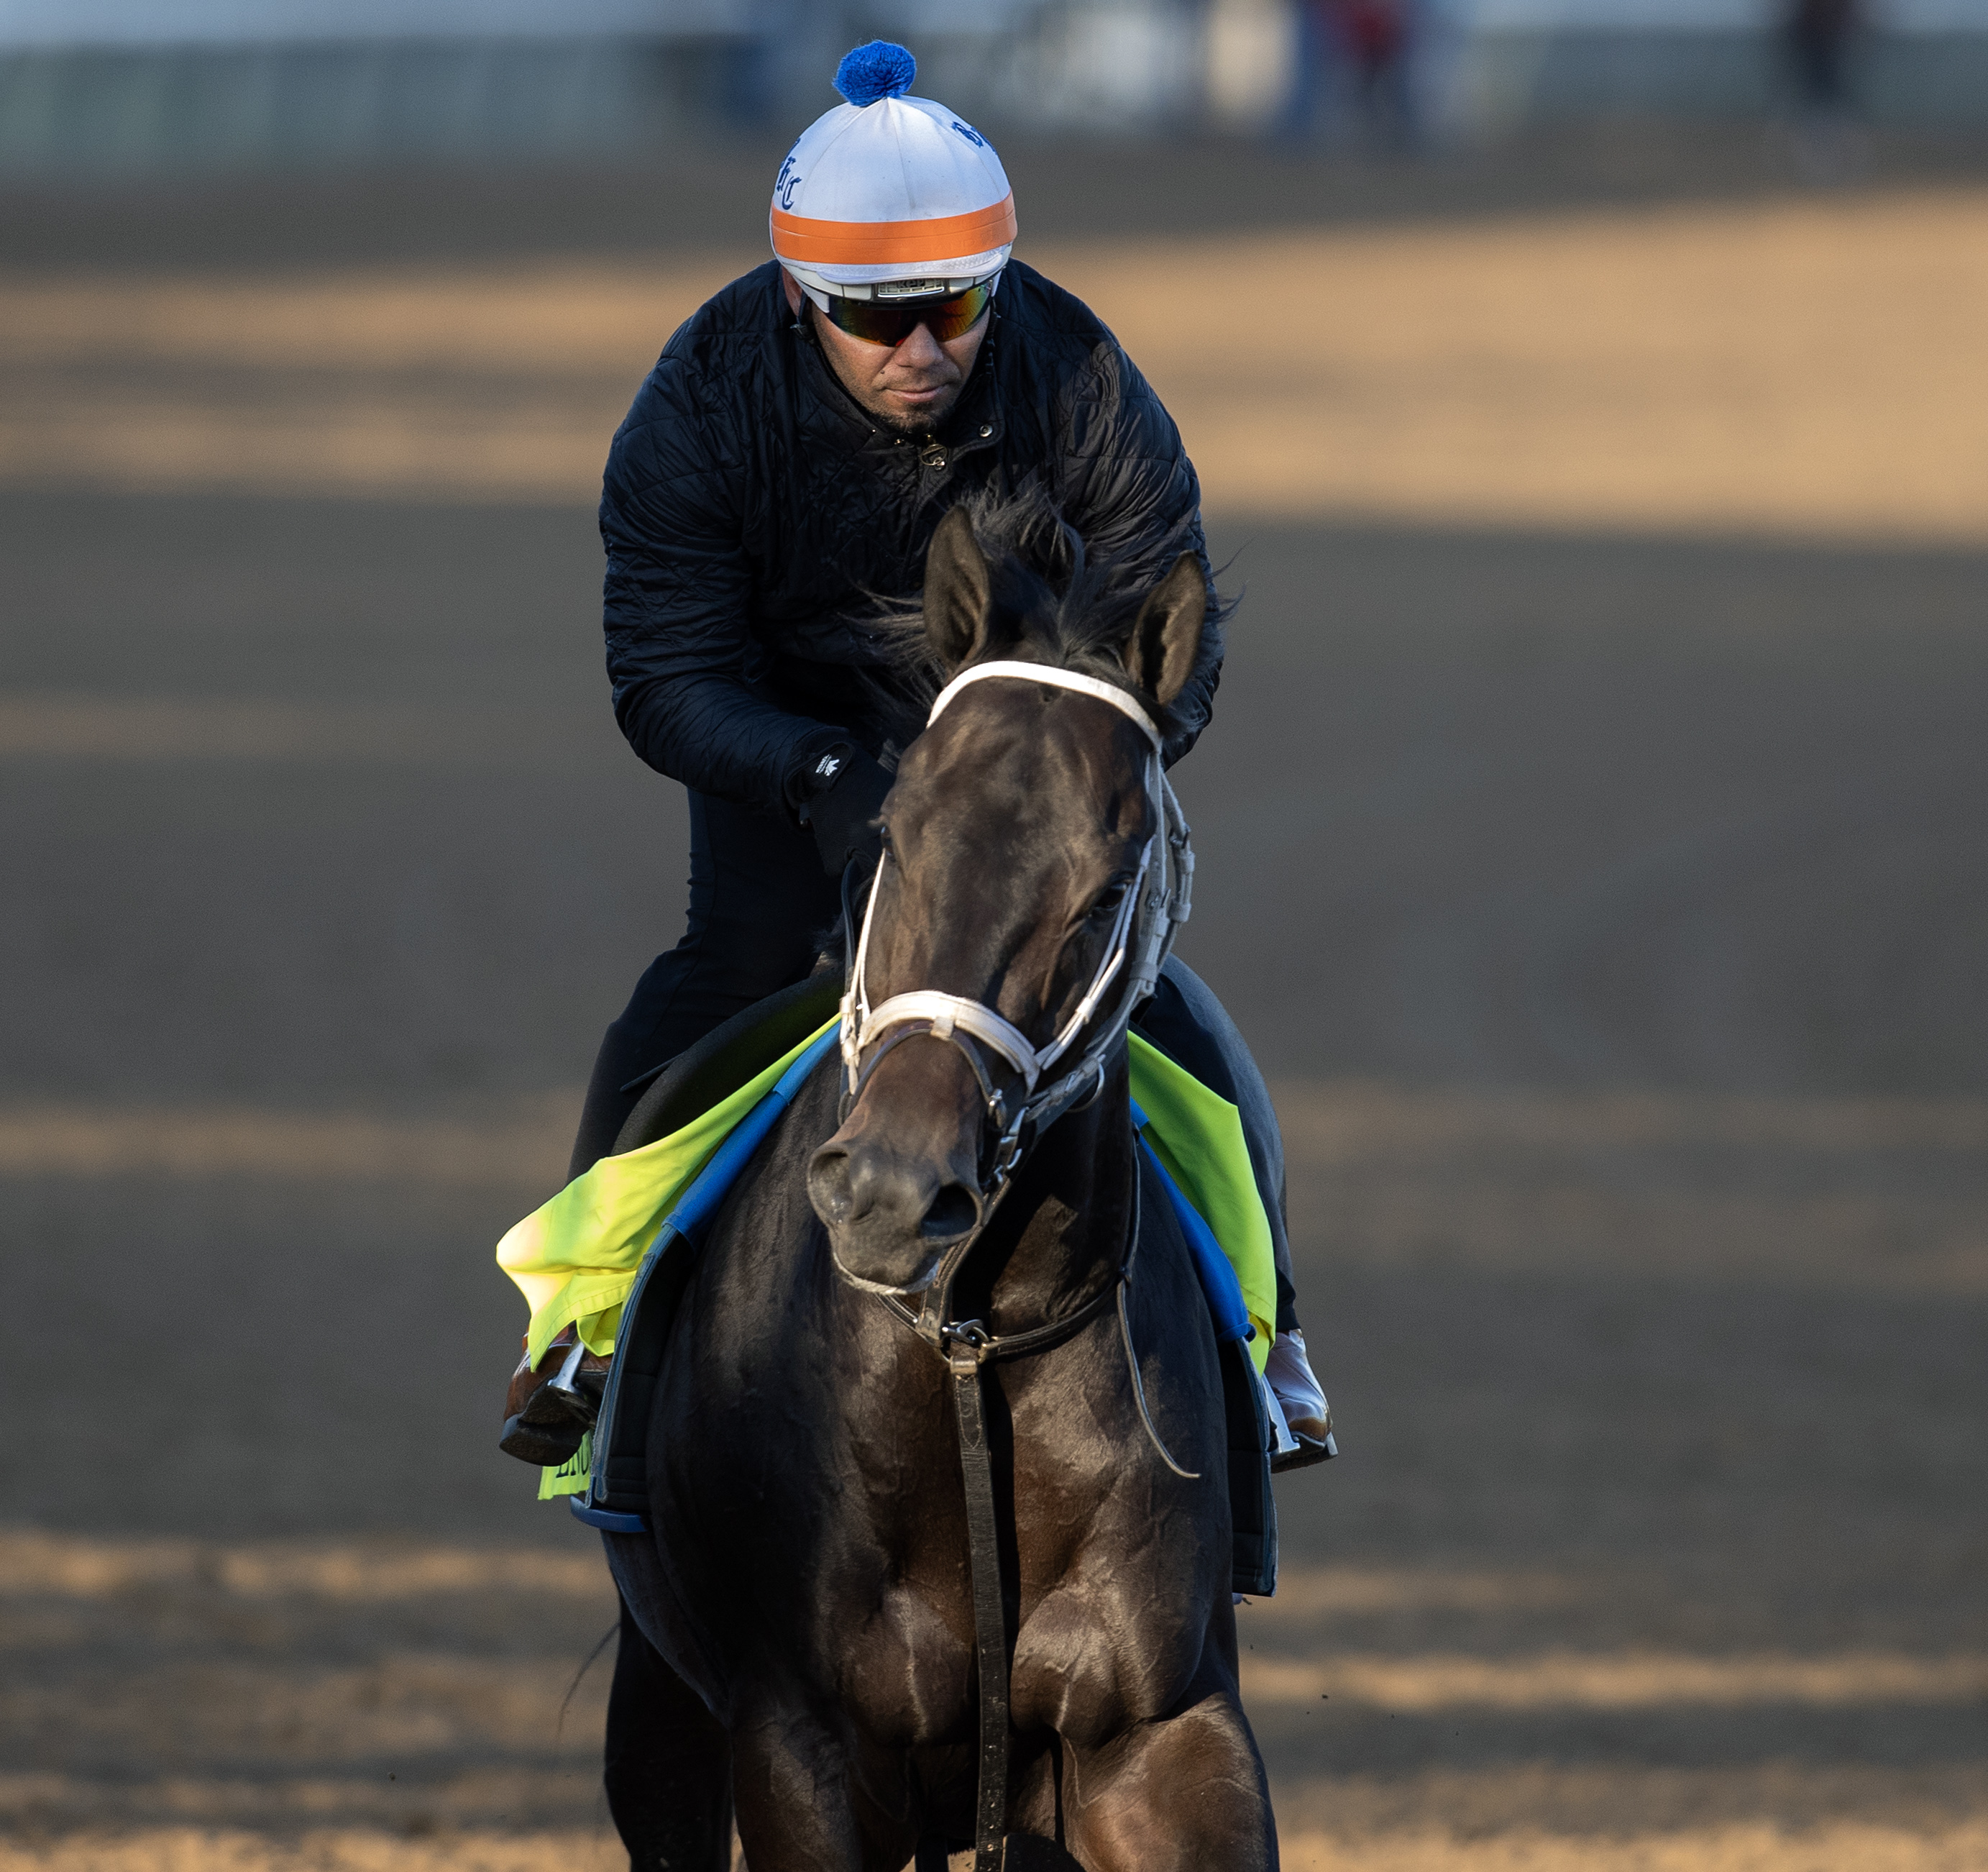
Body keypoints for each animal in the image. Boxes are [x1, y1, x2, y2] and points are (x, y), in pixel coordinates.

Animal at [596, 497, 1278, 1871]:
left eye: (1108, 889)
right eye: (890, 839)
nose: (894, 1190)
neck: (969, 1340)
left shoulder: (1155, 1728)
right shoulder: (802, 1741)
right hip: (662, 1698)